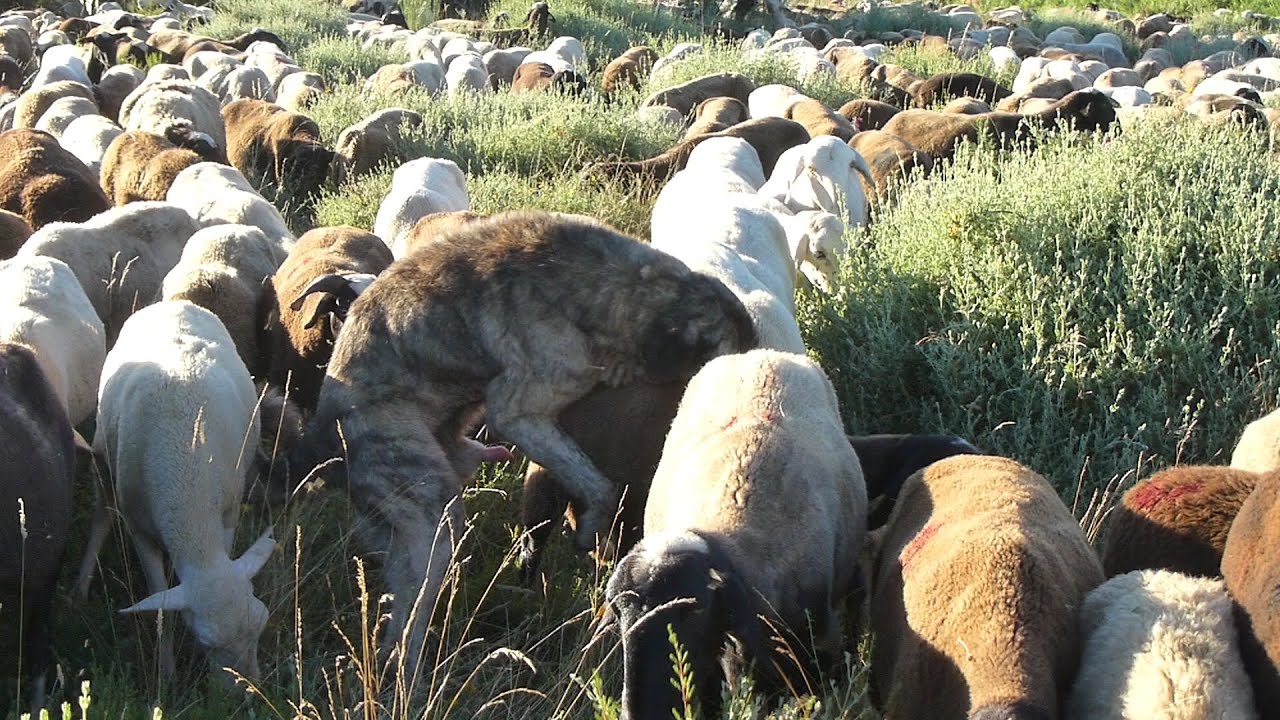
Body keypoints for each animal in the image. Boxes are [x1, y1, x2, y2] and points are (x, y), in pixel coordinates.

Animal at [84, 300, 274, 684]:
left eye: (262, 624)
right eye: (205, 642)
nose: (250, 693)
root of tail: (173, 302)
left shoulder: (228, 513)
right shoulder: (139, 530)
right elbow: (162, 611)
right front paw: (166, 677)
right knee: (102, 513)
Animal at [297, 210, 756, 682]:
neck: (611, 288)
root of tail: (322, 439)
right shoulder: (517, 411)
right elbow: (599, 487)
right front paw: (591, 529)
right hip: (432, 515)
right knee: (409, 616)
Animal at [606, 349, 865, 719]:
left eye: (696, 609)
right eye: (617, 613)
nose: (641, 711)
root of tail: (759, 354)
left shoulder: (821, 641)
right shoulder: (736, 655)